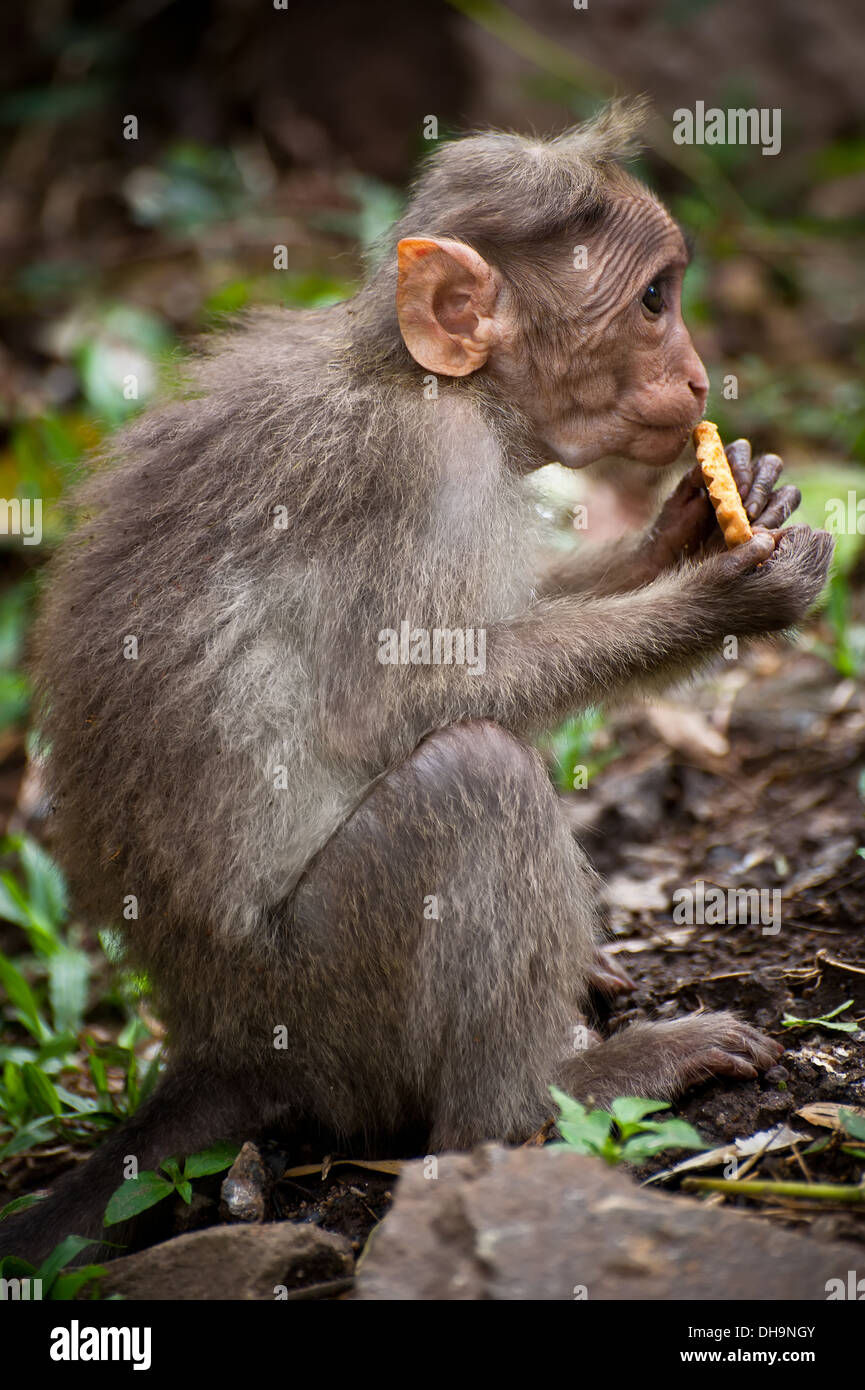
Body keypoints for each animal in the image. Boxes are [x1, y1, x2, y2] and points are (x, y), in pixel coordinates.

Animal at [0, 99, 832, 1262]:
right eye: (653, 301)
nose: (702, 378)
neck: (424, 378)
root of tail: (222, 1047)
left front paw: (688, 528)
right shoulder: (410, 467)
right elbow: (397, 705)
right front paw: (724, 595)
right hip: (327, 1003)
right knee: (473, 774)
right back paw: (543, 1097)